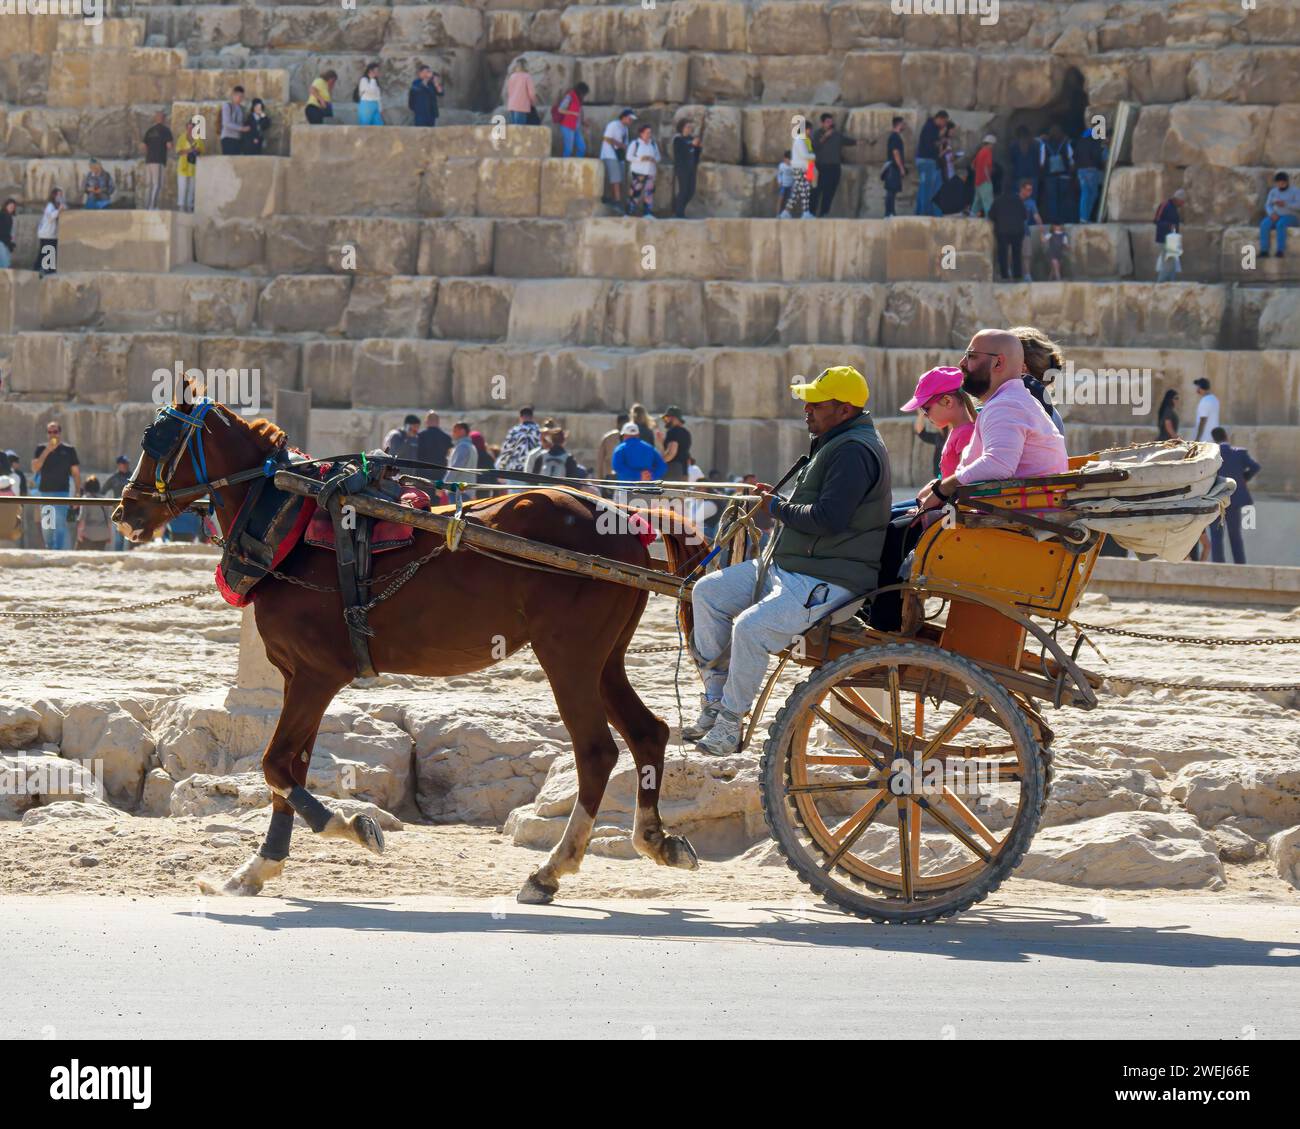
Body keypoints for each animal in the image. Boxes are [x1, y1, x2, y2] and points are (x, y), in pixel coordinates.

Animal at [112, 395, 708, 902]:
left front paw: (350, 826)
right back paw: (655, 839)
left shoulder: (316, 675)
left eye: (156, 442)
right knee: (647, 733)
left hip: (568, 656)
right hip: (602, 657)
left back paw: (550, 870)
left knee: (597, 751)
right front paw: (257, 869)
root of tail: (628, 520)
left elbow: (276, 765)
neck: (290, 523)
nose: (125, 512)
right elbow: (288, 771)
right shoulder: (296, 678)